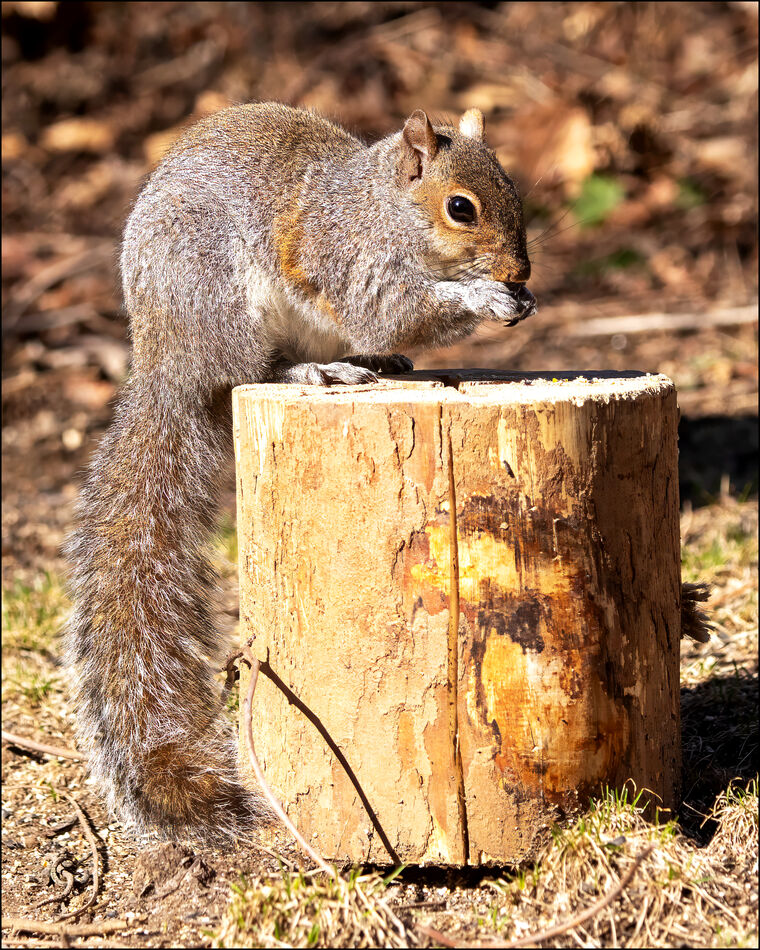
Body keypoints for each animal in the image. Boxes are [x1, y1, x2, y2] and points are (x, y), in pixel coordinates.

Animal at [64, 102, 539, 842]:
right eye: (460, 208)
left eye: (513, 191)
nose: (520, 271)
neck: (380, 207)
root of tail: (166, 367)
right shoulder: (348, 261)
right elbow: (392, 309)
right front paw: (484, 298)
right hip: (221, 299)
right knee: (252, 370)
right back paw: (316, 370)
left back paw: (376, 361)